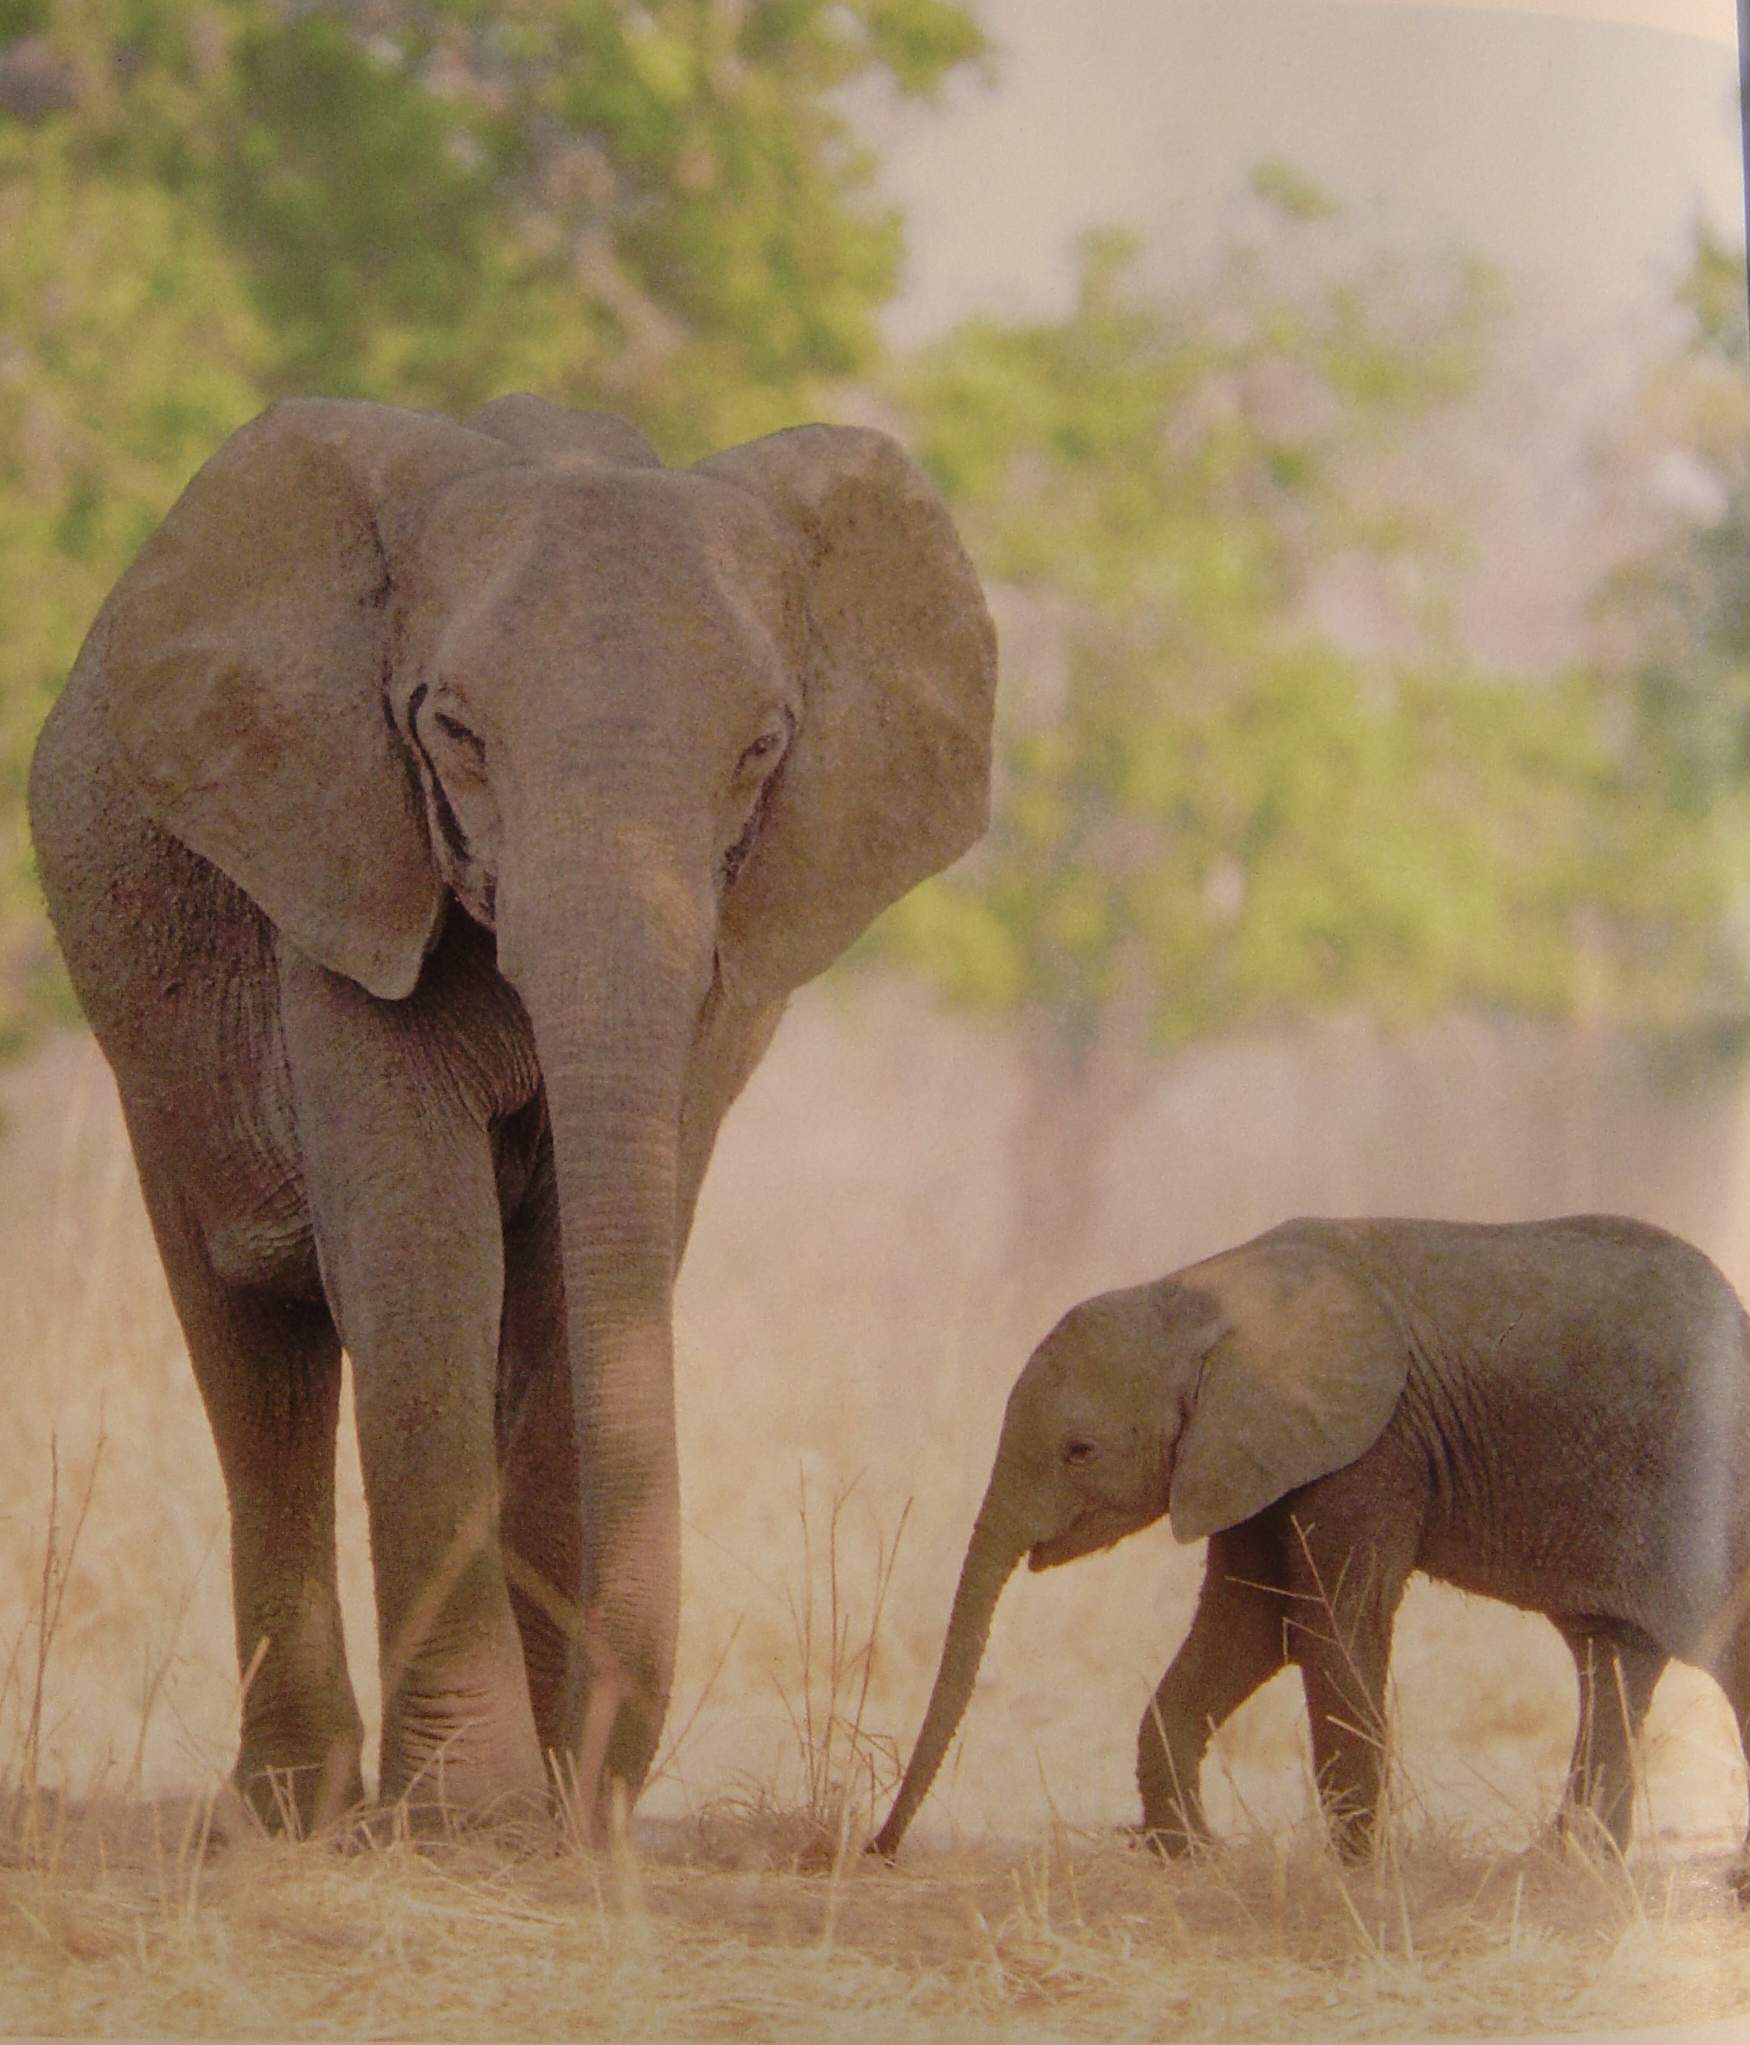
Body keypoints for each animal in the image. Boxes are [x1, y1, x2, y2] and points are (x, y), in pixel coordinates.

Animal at [28, 392, 995, 1840]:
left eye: (762, 748)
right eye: (456, 734)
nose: (603, 1784)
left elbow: (562, 1286)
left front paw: (543, 1817)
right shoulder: (342, 852)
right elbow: (423, 1260)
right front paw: (466, 1818)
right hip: (150, 1041)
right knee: (254, 1350)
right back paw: (295, 1808)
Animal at [871, 1215, 1750, 1891]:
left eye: (1078, 1450)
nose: (876, 1848)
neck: (1202, 1296)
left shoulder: (1370, 1447)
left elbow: (1328, 1623)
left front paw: (1359, 1877)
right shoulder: (1248, 1451)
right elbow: (1254, 1624)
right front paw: (1194, 1858)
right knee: (1615, 1661)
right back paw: (1558, 1870)